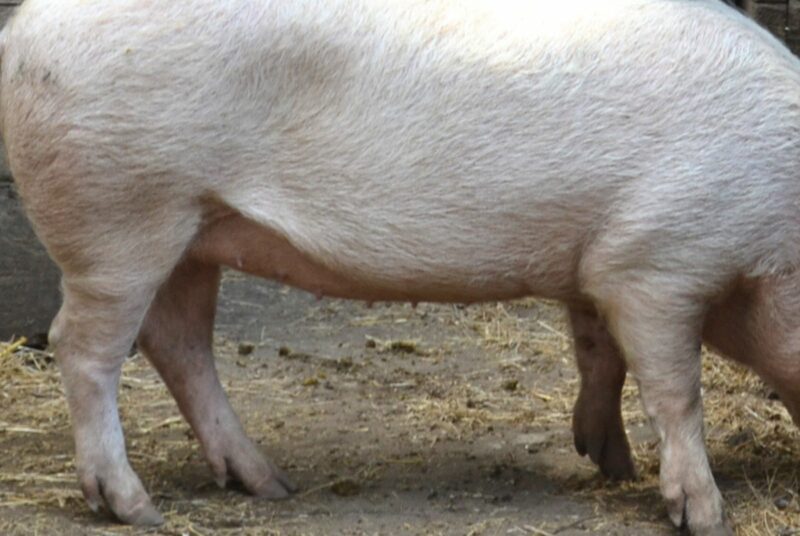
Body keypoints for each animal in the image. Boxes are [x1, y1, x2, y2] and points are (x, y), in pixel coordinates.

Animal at [1, 0, 798, 534]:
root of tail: (25, 28)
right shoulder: (657, 262)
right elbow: (676, 390)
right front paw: (705, 515)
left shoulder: (594, 267)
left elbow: (599, 357)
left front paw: (611, 462)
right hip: (123, 217)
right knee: (83, 346)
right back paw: (135, 507)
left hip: (191, 229)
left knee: (178, 343)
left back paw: (268, 485)